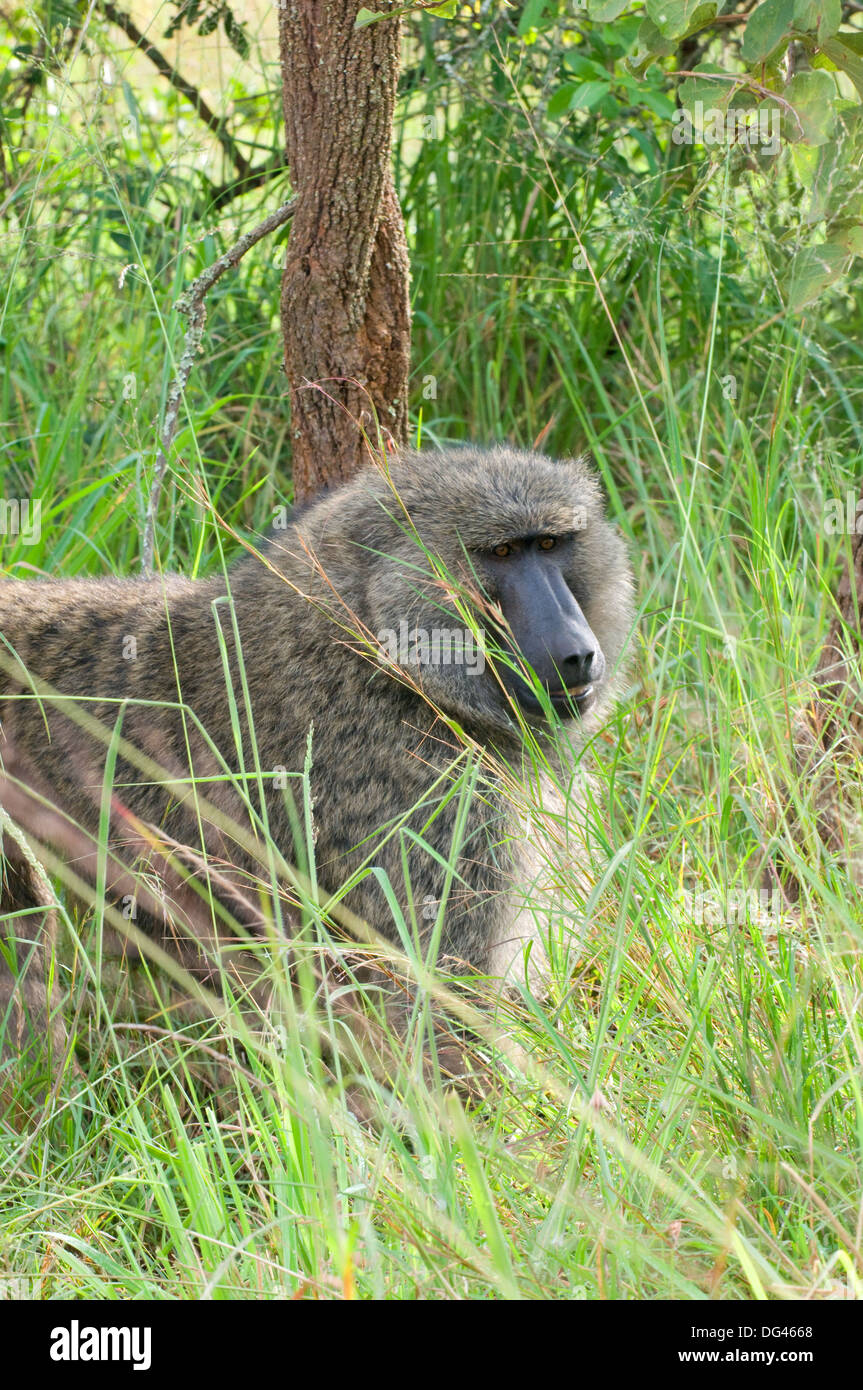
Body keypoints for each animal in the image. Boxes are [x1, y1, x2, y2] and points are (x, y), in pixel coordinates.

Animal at [0, 445, 634, 1098]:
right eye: (502, 553)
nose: (576, 652)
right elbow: (435, 1026)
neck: (380, 651)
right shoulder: (433, 802)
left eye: (551, 544)